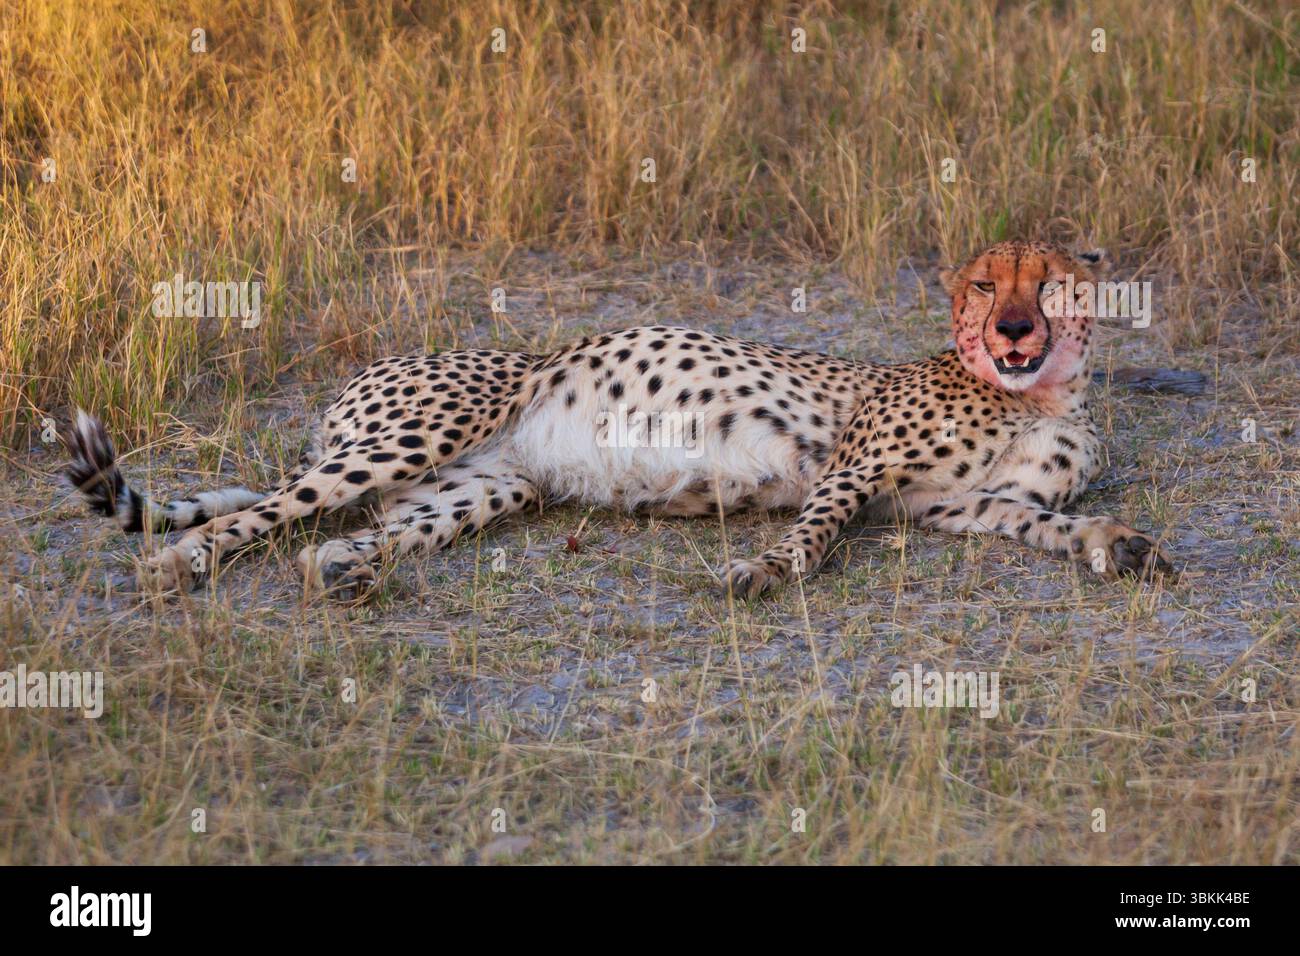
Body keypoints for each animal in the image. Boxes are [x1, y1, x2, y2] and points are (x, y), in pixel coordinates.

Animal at [61, 240, 1172, 602]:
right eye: (987, 282)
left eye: (1043, 281)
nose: (1012, 326)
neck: (1036, 391)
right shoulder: (854, 467)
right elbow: (814, 536)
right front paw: (761, 571)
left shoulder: (958, 509)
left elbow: (1049, 520)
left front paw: (1117, 543)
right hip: (418, 433)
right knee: (256, 515)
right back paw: (174, 567)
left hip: (484, 486)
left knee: (339, 538)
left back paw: (344, 571)